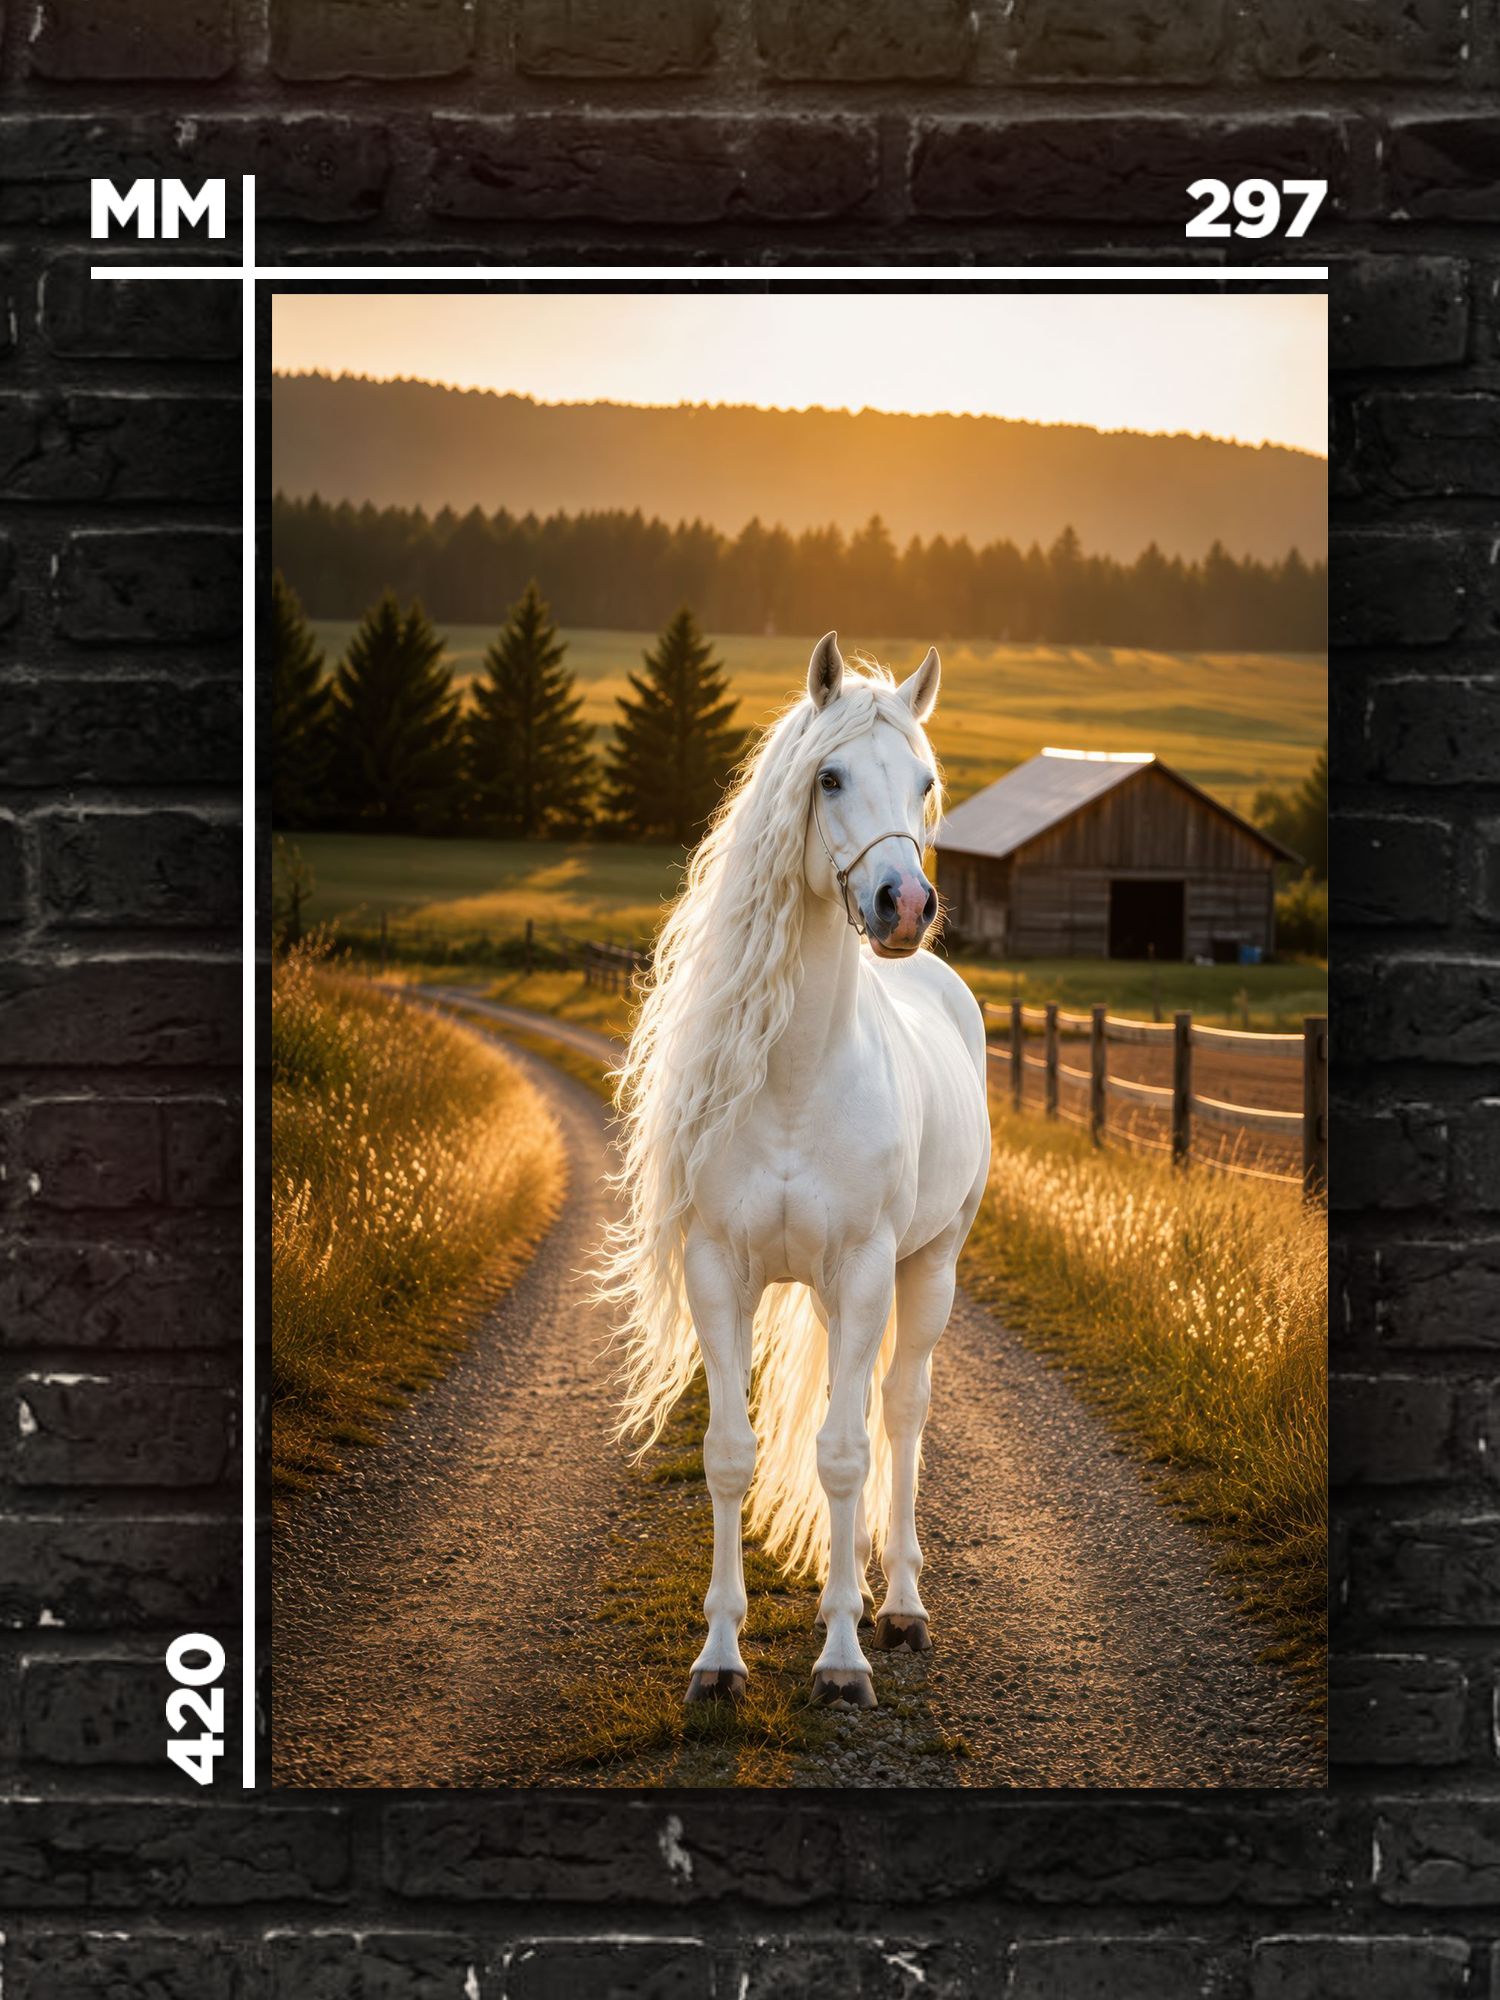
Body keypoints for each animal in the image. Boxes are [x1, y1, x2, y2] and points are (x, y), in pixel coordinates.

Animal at [598, 633, 991, 1709]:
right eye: (830, 776)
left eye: (926, 782)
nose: (905, 905)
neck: (794, 1078)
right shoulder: (719, 1272)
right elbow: (732, 1455)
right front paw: (719, 1656)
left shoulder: (863, 1271)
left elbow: (849, 1452)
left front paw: (844, 1660)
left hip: (929, 1268)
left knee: (899, 1412)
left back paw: (898, 1605)